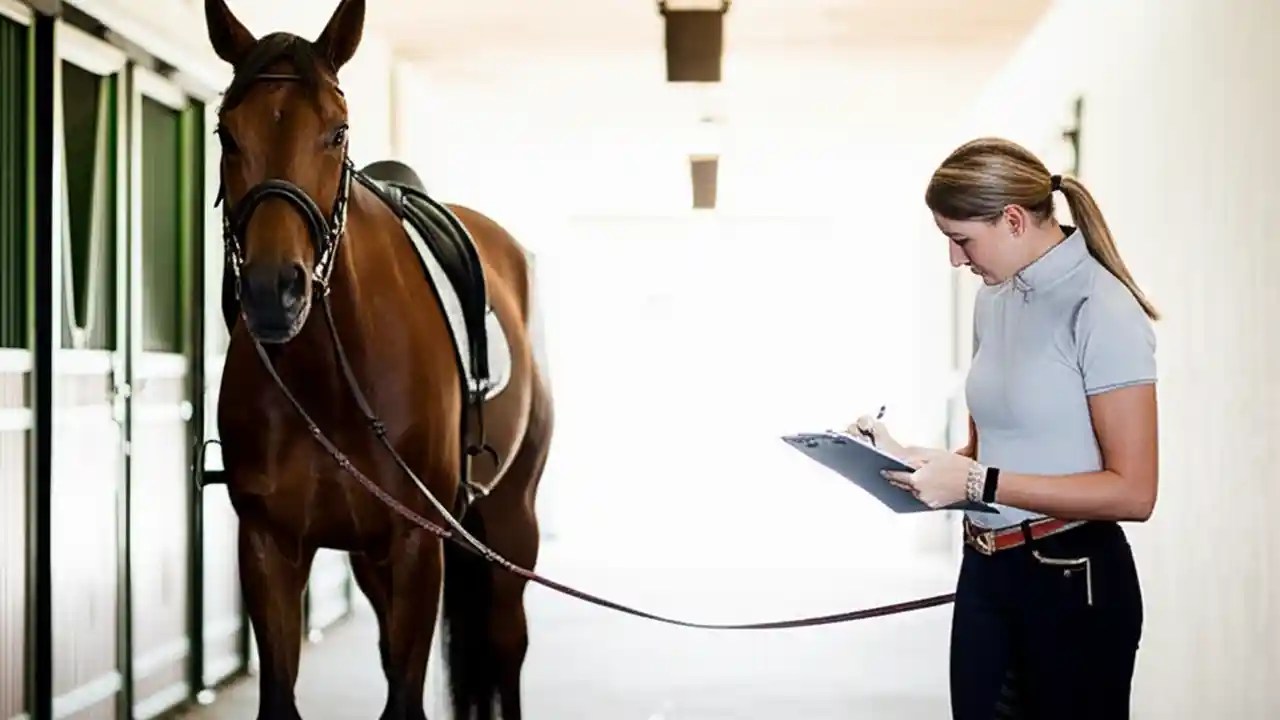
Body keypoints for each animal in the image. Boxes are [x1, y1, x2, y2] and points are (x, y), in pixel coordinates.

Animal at [204, 1, 554, 717]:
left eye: (336, 132)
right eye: (226, 133)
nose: (274, 290)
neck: (332, 378)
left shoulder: (418, 546)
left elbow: (406, 697)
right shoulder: (268, 544)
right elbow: (284, 695)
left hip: (511, 525)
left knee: (506, 644)